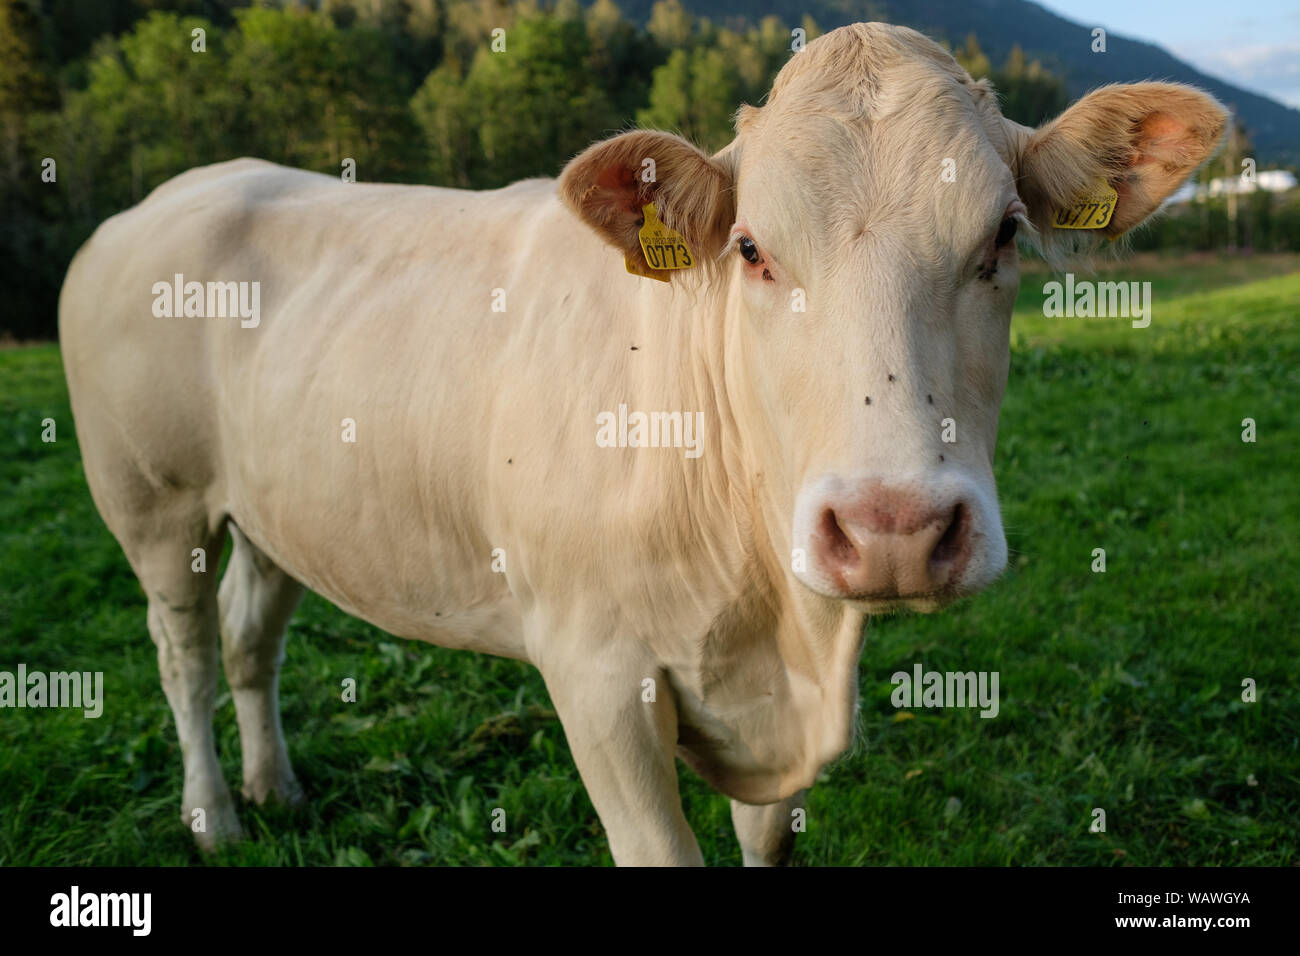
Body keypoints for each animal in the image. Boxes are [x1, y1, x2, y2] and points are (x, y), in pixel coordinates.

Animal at [59, 22, 1226, 866]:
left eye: (1003, 238)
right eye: (751, 247)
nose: (892, 528)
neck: (782, 626)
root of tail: (182, 188)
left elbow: (765, 840)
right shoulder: (597, 675)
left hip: (275, 502)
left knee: (251, 637)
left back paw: (276, 785)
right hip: (153, 504)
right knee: (184, 653)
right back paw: (215, 815)